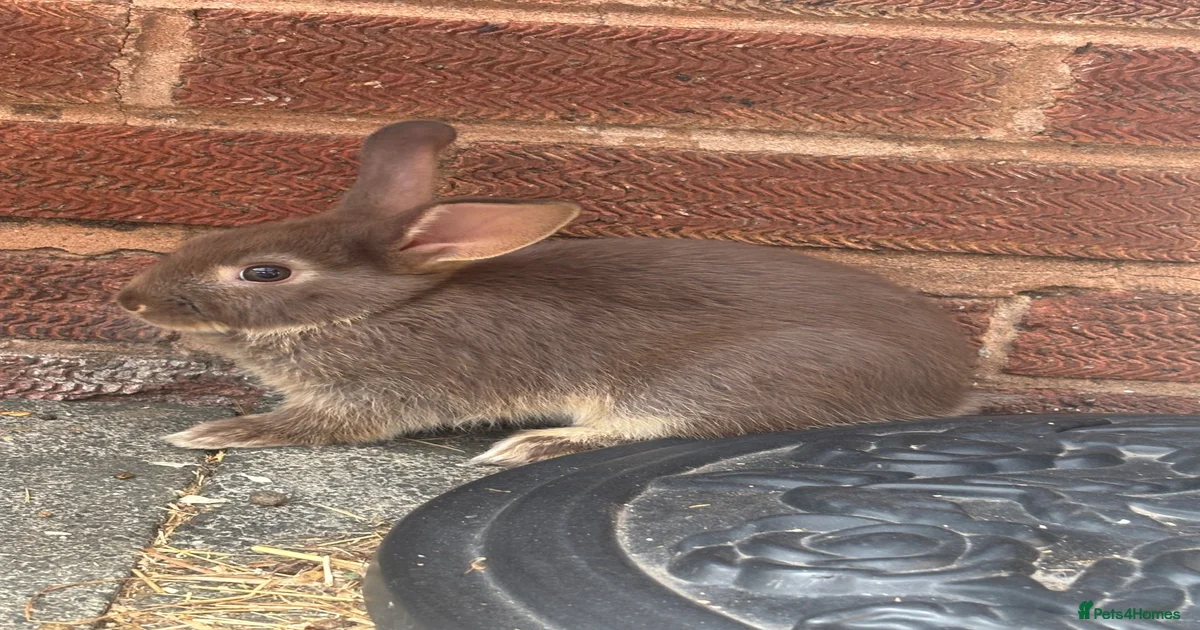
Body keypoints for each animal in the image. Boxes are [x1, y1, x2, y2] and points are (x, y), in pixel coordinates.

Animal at [116, 120, 975, 467]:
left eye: (265, 273)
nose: (132, 302)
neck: (376, 310)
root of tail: (951, 381)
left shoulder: (376, 394)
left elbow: (317, 424)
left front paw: (218, 430)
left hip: (706, 383)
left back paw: (532, 445)